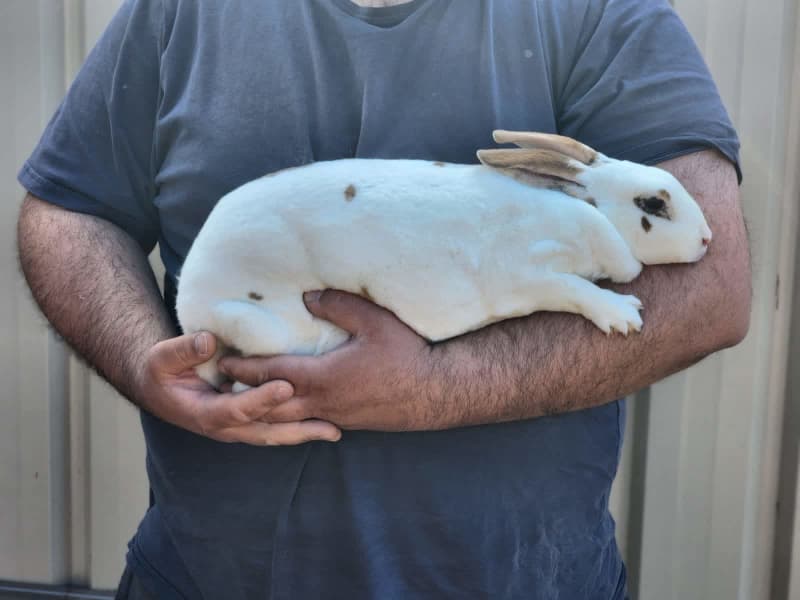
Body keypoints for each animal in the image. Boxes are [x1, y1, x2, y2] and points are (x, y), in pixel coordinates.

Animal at [175, 130, 712, 389]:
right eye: (653, 205)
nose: (707, 239)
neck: (590, 213)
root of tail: (191, 309)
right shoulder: (530, 274)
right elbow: (575, 290)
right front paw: (623, 315)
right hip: (258, 322)